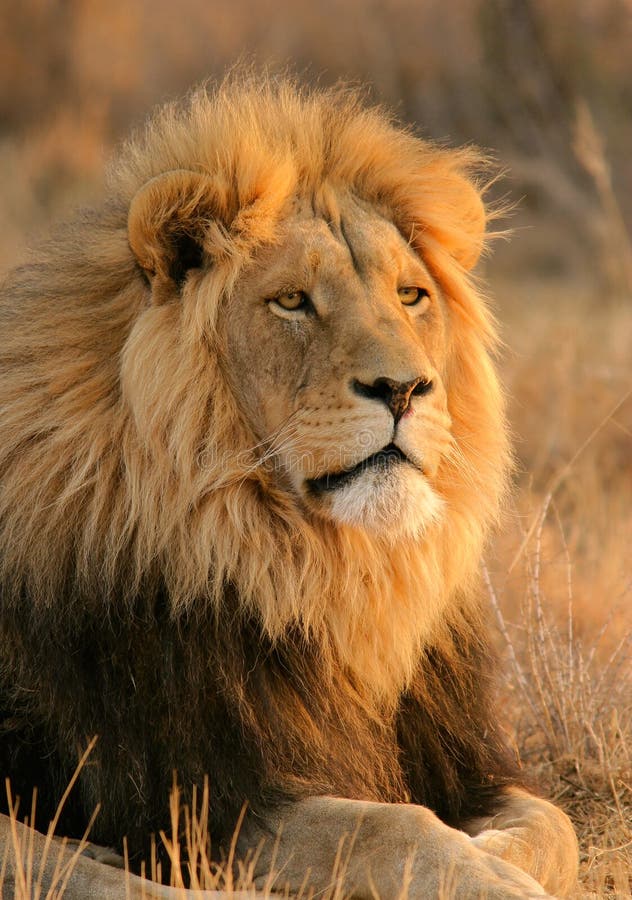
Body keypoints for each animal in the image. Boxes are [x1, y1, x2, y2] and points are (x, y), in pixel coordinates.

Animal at [0, 75, 578, 899]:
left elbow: (552, 824)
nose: (404, 389)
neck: (320, 577)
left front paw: (500, 856)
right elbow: (390, 826)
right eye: (292, 301)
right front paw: (492, 881)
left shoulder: (456, 759)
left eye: (411, 295)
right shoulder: (206, 797)